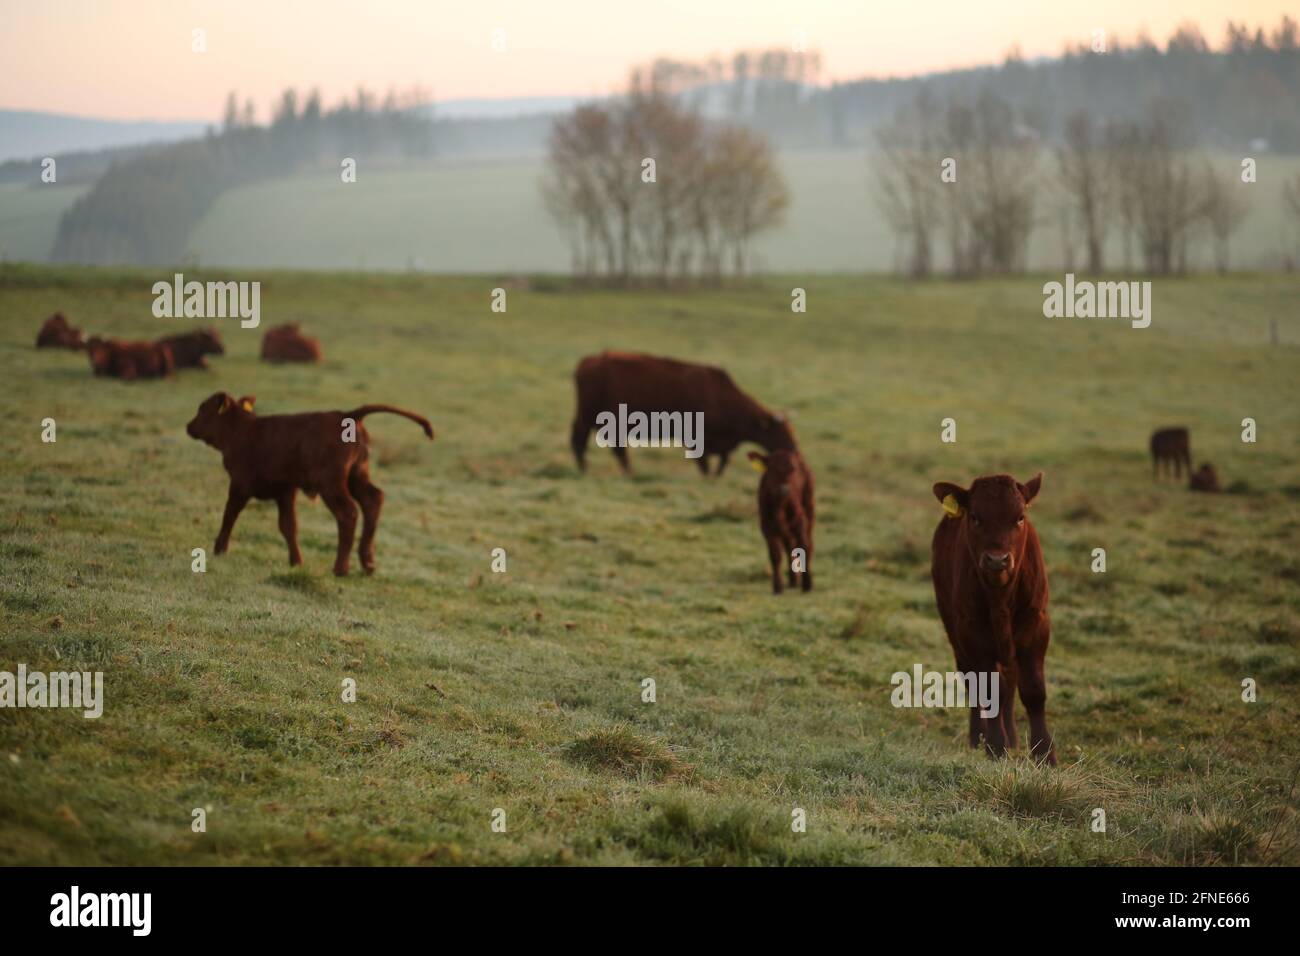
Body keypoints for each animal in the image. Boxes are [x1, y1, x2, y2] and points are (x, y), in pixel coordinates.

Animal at [186, 392, 434, 576]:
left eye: (202, 409)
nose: (189, 426)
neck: (242, 429)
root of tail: (348, 415)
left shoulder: (239, 486)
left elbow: (229, 516)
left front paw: (219, 549)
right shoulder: (285, 492)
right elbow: (288, 526)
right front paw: (296, 561)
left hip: (331, 486)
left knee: (348, 513)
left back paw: (340, 568)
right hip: (356, 477)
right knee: (373, 501)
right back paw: (368, 563)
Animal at [570, 351, 797, 476]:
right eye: (779, 433)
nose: (794, 452)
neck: (718, 394)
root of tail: (588, 361)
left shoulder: (721, 443)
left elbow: (722, 462)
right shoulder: (698, 439)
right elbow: (705, 463)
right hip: (590, 418)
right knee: (585, 443)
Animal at [747, 450, 814, 593]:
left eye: (793, 469)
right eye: (771, 469)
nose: (784, 490)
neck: (780, 506)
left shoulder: (800, 520)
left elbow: (804, 546)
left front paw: (807, 584)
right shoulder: (767, 526)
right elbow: (775, 555)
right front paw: (778, 586)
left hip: (809, 509)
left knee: (808, 543)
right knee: (789, 547)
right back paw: (793, 581)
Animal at [930, 473, 1056, 765]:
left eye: (1019, 517)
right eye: (976, 517)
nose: (997, 560)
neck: (1001, 596)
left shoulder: (1037, 626)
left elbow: (1033, 691)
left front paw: (1045, 753)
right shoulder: (972, 632)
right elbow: (988, 689)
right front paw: (996, 747)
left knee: (1009, 680)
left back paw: (1011, 736)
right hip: (954, 629)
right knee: (973, 679)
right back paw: (979, 736)